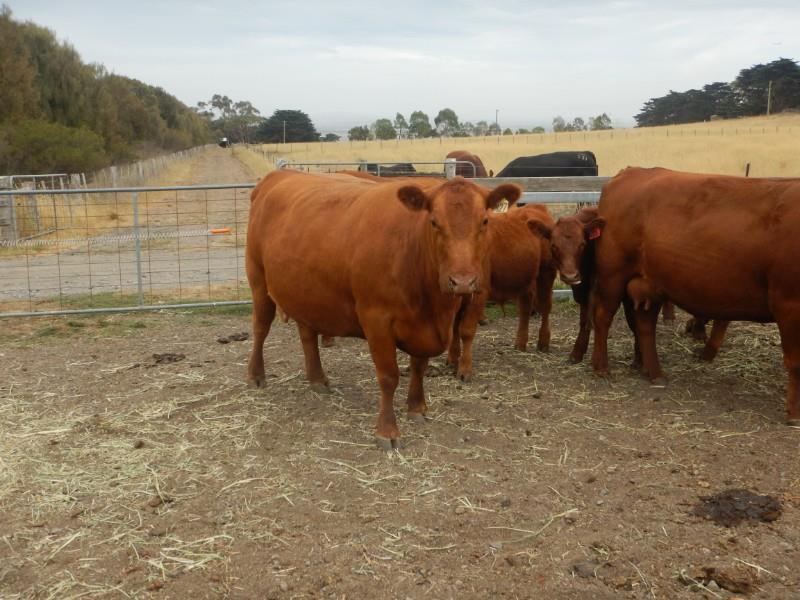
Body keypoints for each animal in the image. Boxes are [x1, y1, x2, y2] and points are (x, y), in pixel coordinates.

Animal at [246, 170, 521, 447]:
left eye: (485, 221)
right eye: (434, 222)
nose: (462, 281)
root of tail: (281, 173)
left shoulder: (423, 326)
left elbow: (419, 367)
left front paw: (417, 408)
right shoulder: (375, 319)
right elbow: (389, 377)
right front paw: (387, 430)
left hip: (305, 293)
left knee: (307, 334)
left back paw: (317, 378)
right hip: (258, 280)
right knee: (260, 328)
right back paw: (256, 376)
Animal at [446, 204, 556, 381]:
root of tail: (536, 207)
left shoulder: (479, 292)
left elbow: (466, 330)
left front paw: (464, 368)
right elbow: (454, 327)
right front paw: (452, 358)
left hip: (546, 272)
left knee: (545, 307)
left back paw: (543, 342)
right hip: (523, 279)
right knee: (525, 308)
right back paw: (520, 343)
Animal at [589, 166, 800, 424]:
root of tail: (633, 171)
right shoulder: (789, 303)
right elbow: (796, 362)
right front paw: (794, 413)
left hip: (649, 284)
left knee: (645, 325)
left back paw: (655, 373)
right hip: (613, 275)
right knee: (603, 317)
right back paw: (601, 367)